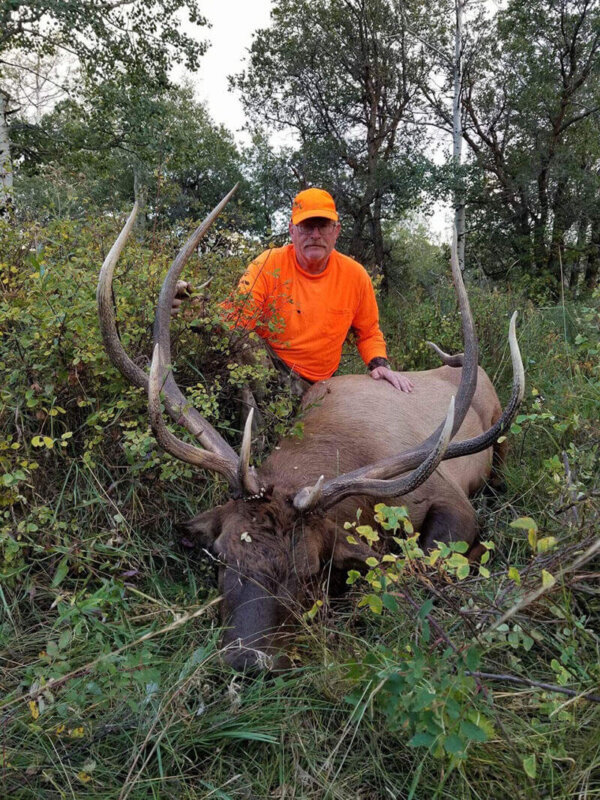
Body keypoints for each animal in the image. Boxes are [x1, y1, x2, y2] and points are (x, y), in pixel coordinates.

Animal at [97, 187, 525, 672]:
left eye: (307, 571)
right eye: (222, 558)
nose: (247, 660)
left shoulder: (450, 499)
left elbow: (434, 564)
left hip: (500, 440)